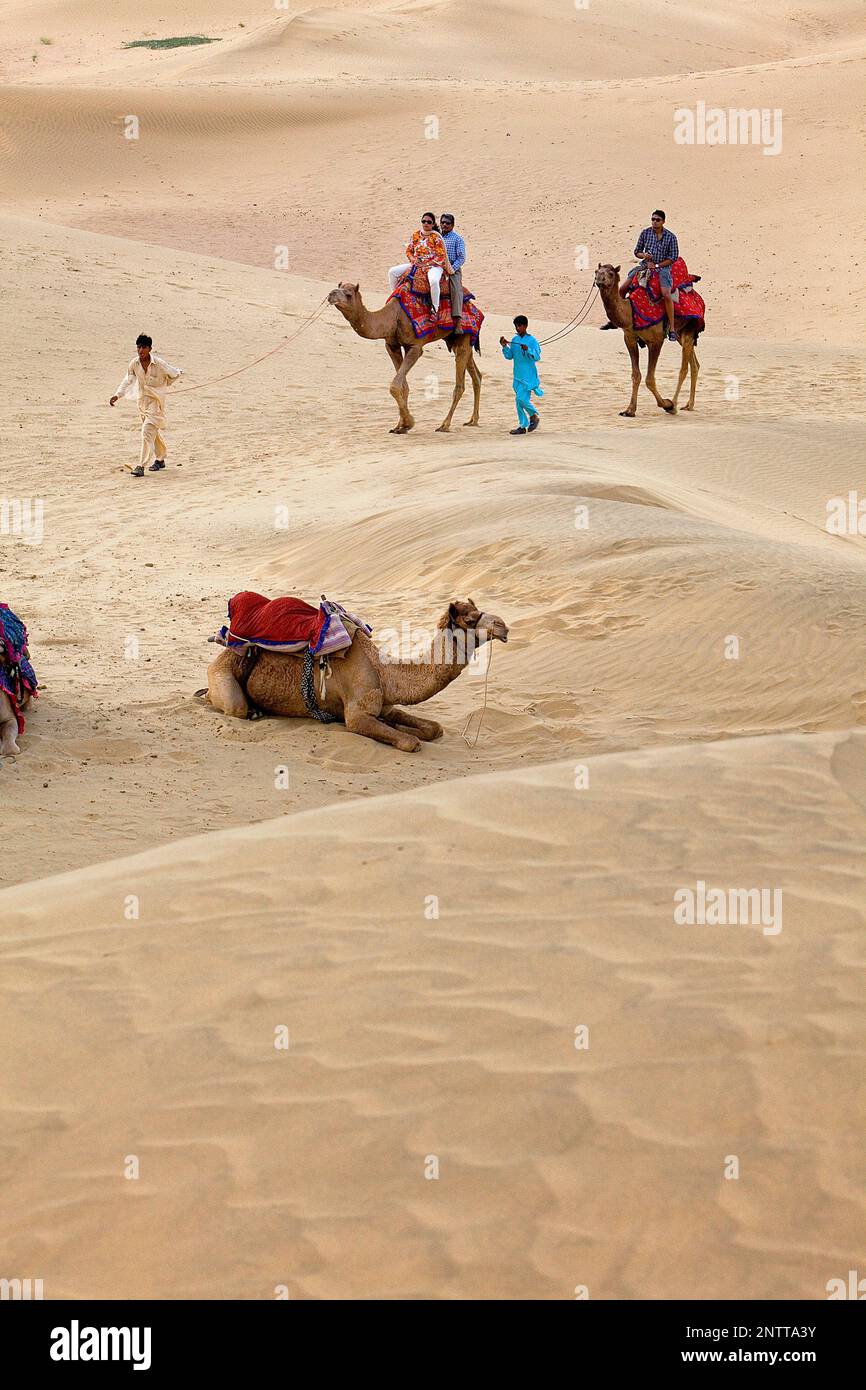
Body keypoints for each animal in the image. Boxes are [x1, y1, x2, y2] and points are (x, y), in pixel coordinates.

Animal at [201, 599, 508, 752]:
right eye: (470, 619)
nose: (503, 626)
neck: (385, 671)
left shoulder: (385, 703)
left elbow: (434, 728)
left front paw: (402, 727)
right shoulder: (356, 714)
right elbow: (410, 743)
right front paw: (402, 734)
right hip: (224, 676)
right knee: (233, 706)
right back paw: (251, 712)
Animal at [327, 282, 482, 434]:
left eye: (348, 294)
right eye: (339, 287)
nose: (331, 294)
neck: (393, 318)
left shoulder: (415, 347)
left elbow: (395, 386)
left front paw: (409, 423)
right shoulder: (392, 346)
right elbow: (403, 387)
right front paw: (400, 426)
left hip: (463, 335)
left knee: (460, 385)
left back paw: (445, 425)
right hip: (455, 339)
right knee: (476, 375)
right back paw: (473, 420)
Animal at [594, 264, 700, 417]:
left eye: (610, 273)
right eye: (596, 271)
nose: (599, 280)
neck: (630, 312)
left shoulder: (655, 341)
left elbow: (650, 379)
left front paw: (666, 404)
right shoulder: (629, 338)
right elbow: (636, 375)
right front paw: (629, 410)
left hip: (689, 330)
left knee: (684, 368)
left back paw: (674, 405)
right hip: (681, 334)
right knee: (695, 364)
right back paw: (688, 405)